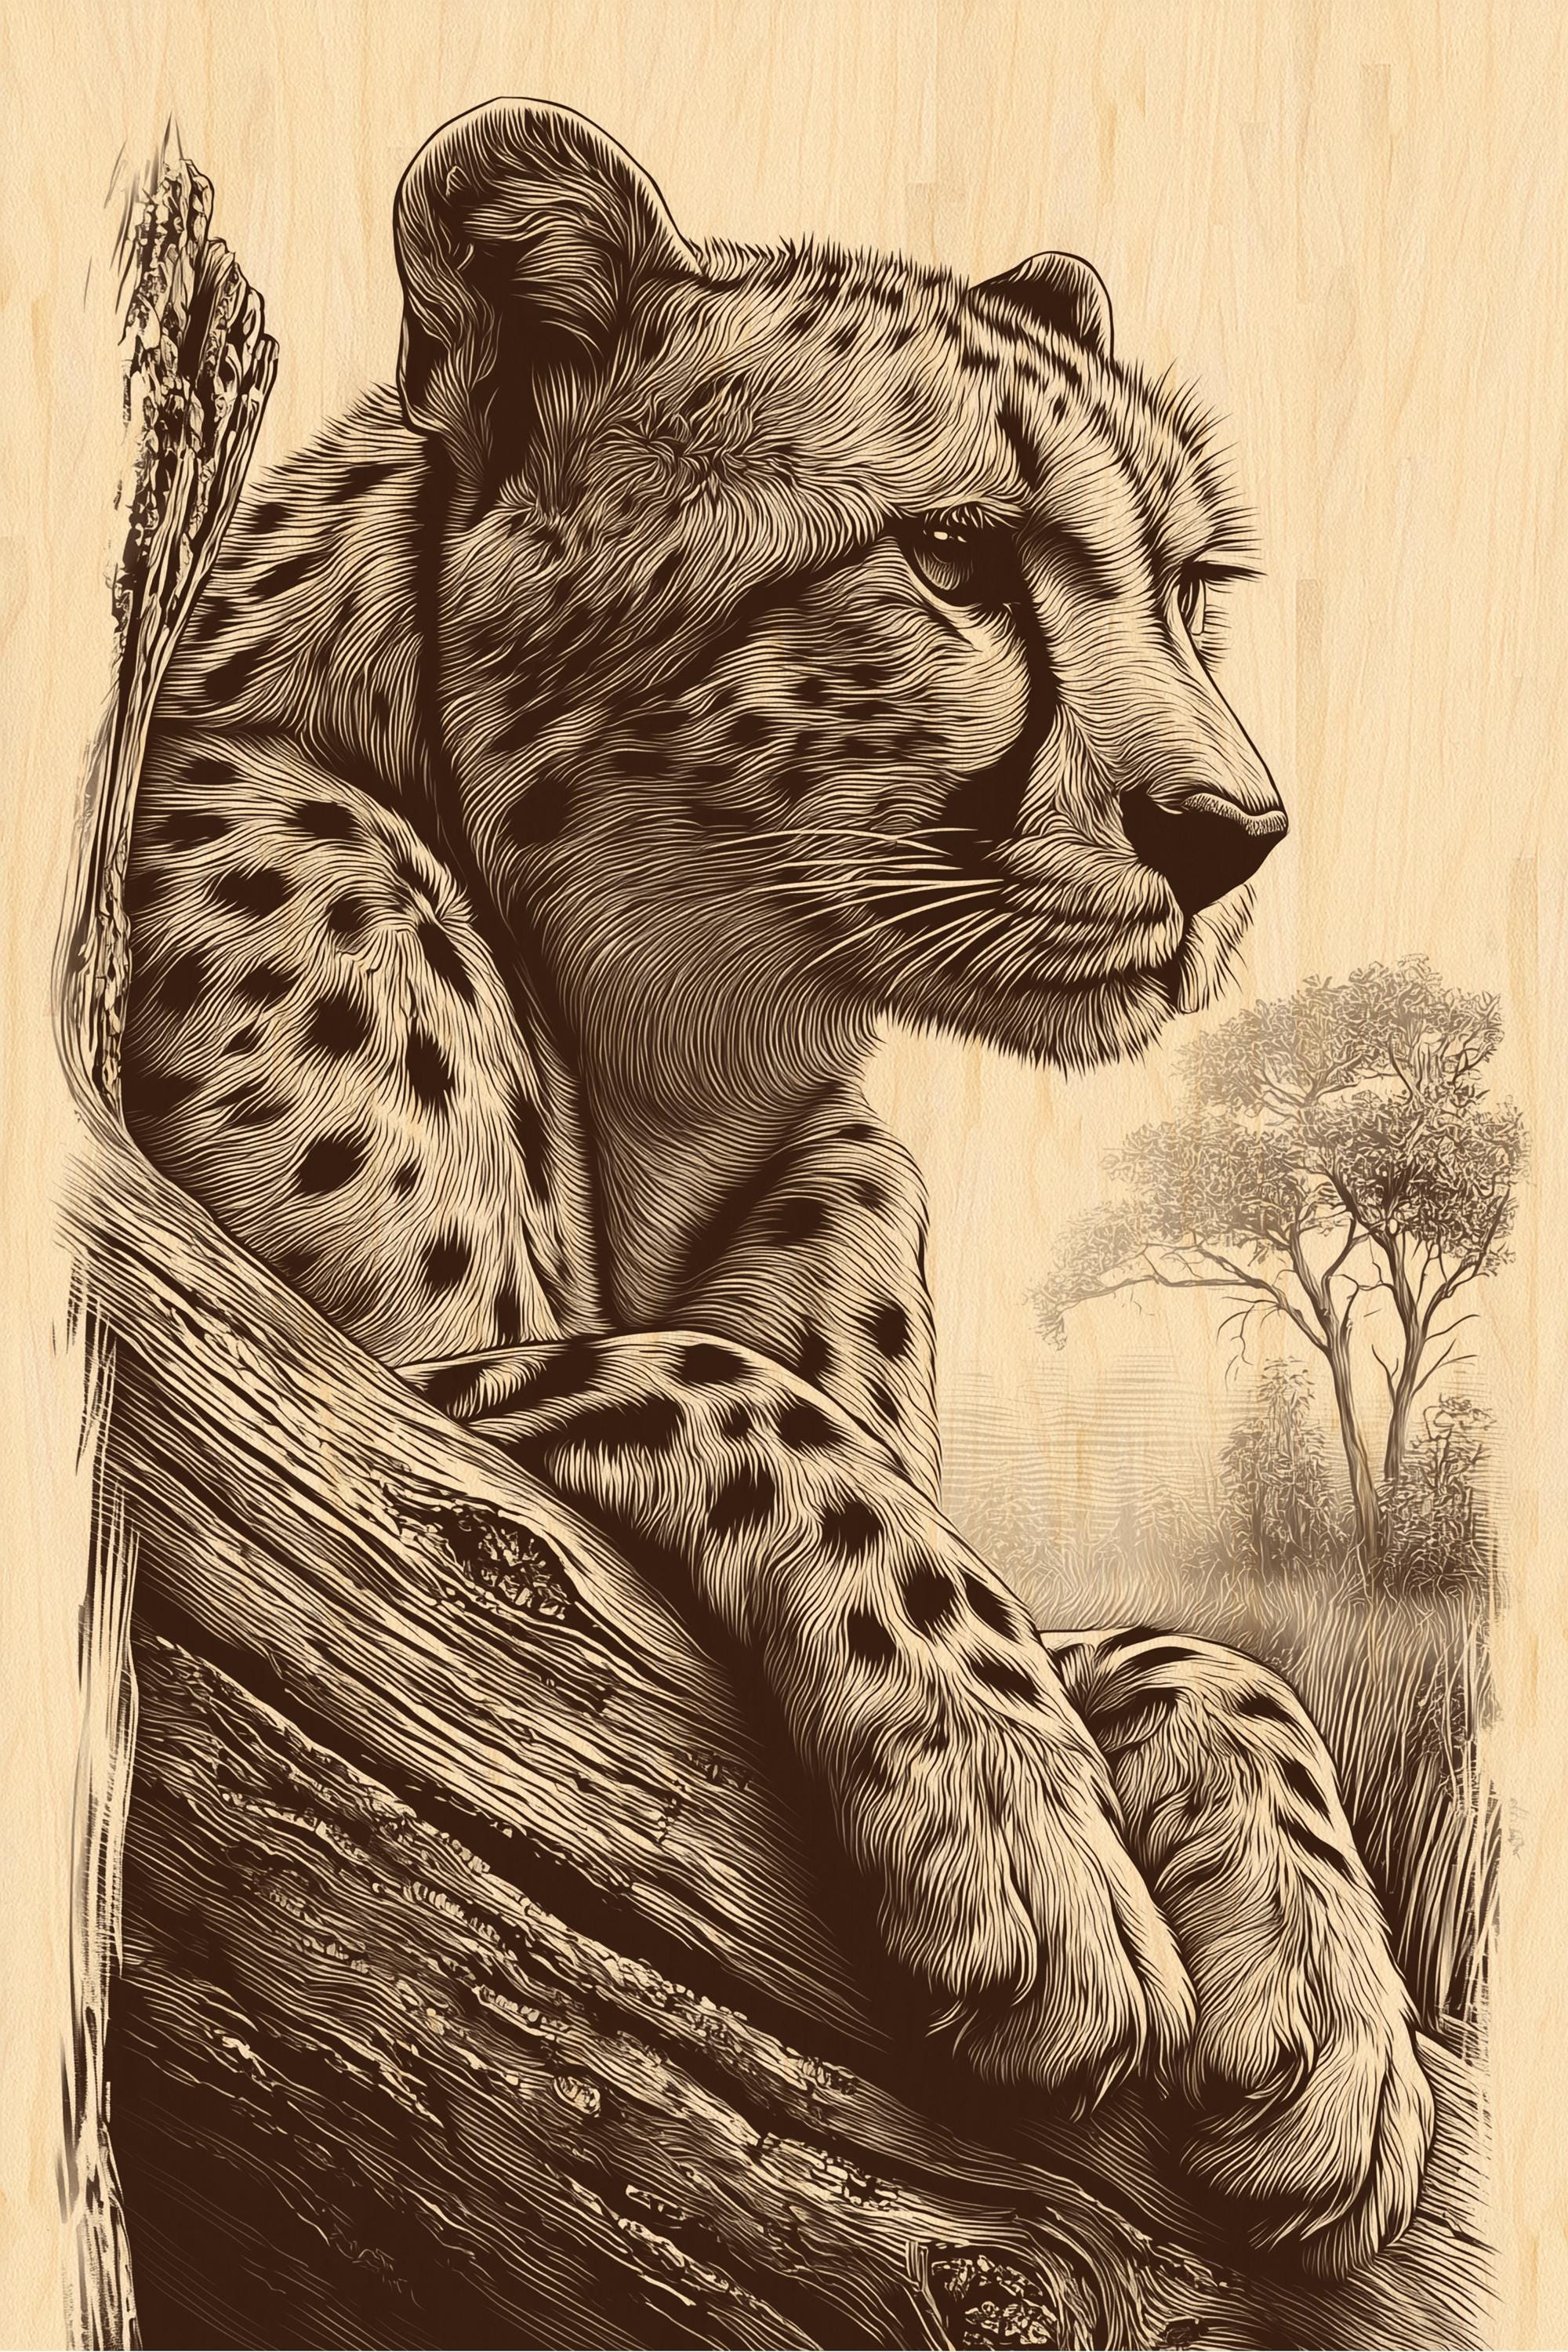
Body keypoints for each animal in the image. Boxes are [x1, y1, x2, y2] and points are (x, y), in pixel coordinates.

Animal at [121, 98, 1433, 2274]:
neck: (676, 1043)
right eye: (951, 556)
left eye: (1188, 585)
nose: (1229, 832)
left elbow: (1197, 1650)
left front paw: (1326, 1983)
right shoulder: (350, 1411)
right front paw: (1008, 1823)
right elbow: (729, 1394)